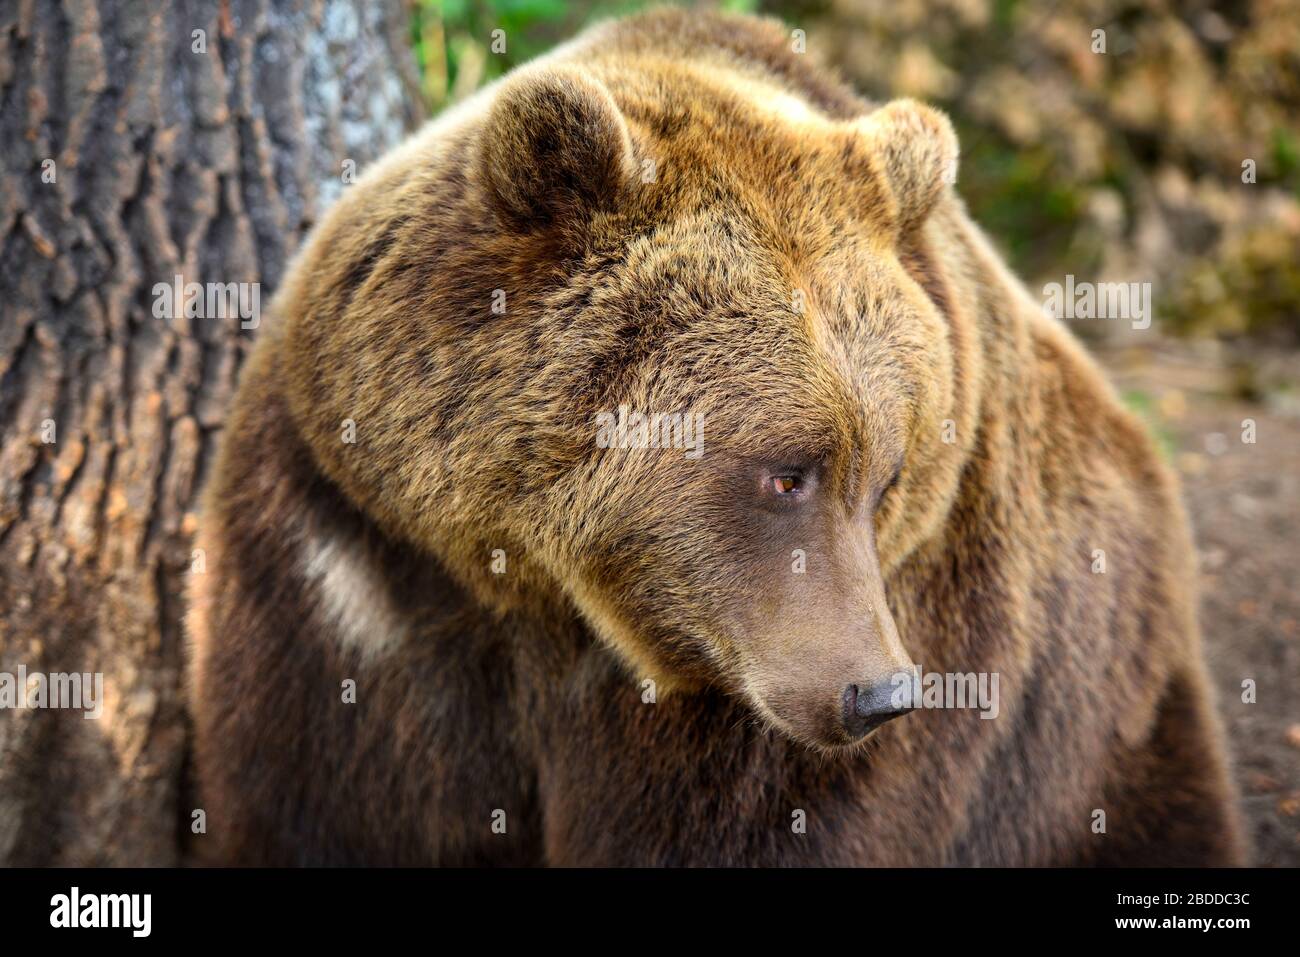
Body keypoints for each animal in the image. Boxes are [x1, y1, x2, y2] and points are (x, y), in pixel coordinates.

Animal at [186, 7, 1246, 866]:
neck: (532, 584)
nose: (879, 694)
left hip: (1086, 709)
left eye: (886, 476)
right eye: (787, 473)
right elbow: (323, 799)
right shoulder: (353, 560)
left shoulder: (792, 666)